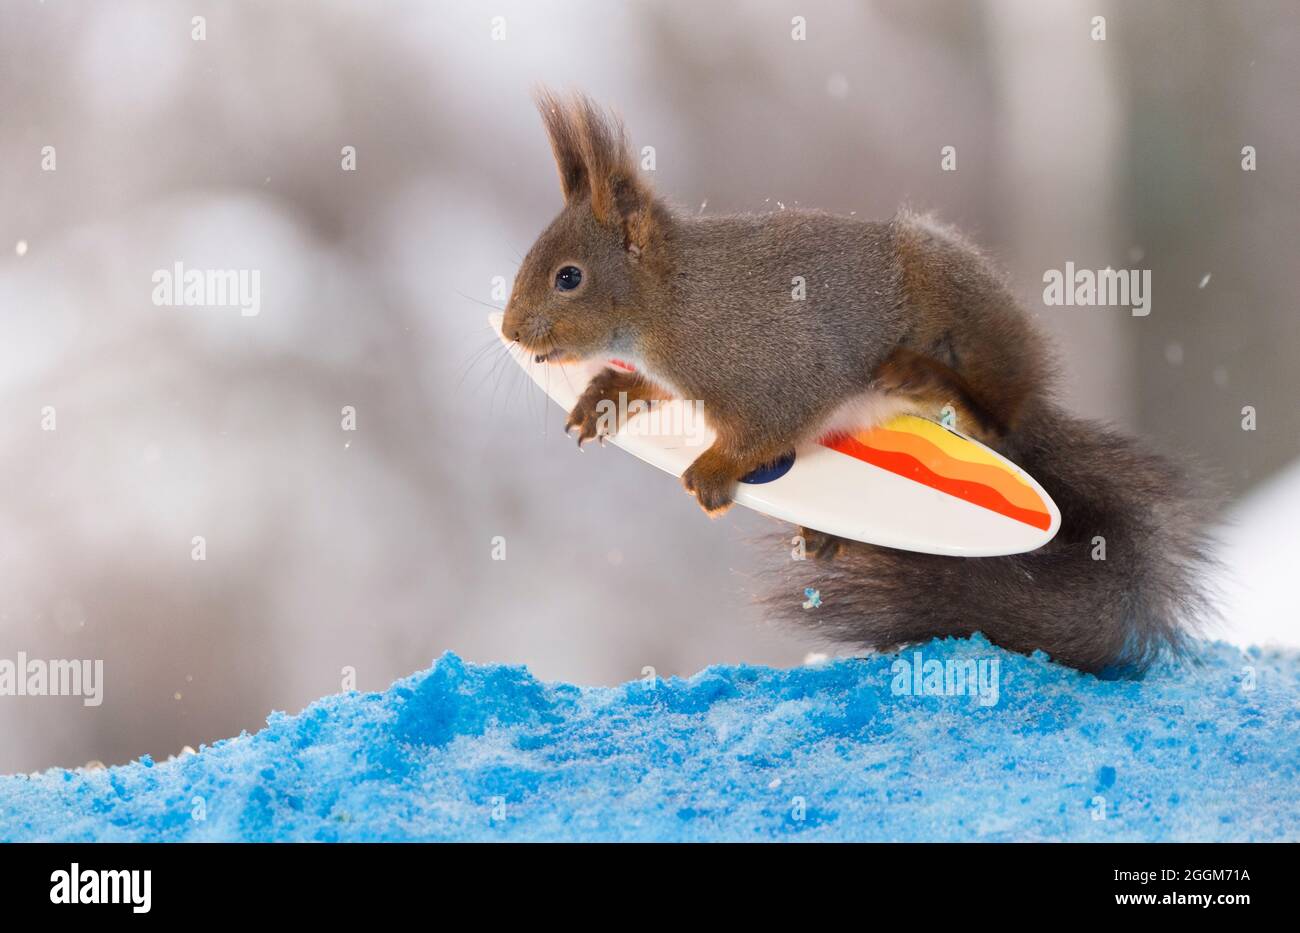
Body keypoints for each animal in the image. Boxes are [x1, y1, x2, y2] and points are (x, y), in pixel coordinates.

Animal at [502, 90, 1215, 675]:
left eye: (569, 277)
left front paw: (712, 469)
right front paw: (603, 398)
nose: (509, 331)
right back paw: (831, 529)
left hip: (959, 310)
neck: (668, 302)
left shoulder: (776, 367)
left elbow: (767, 426)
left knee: (997, 411)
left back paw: (931, 383)